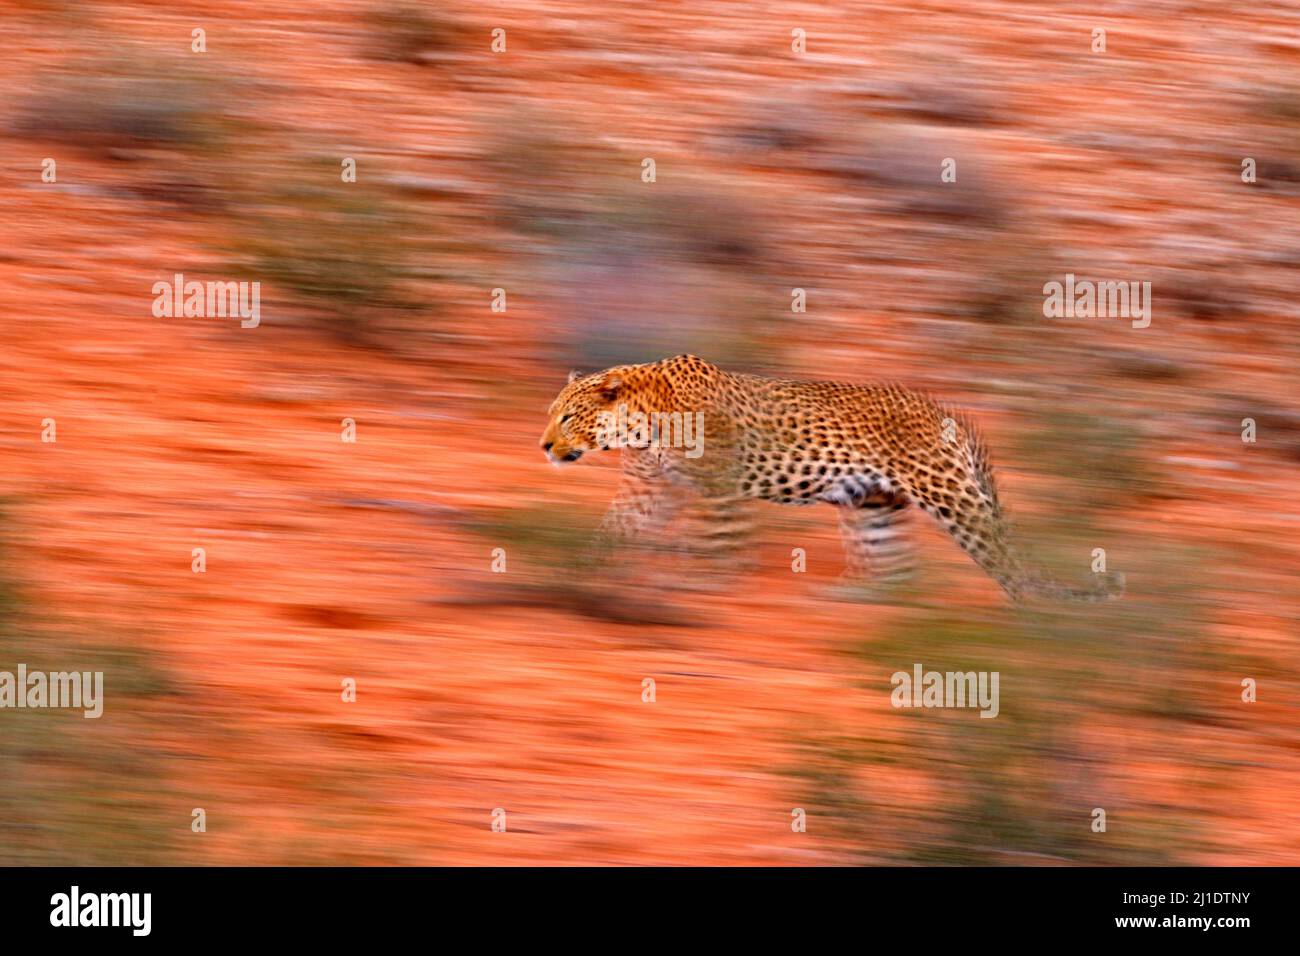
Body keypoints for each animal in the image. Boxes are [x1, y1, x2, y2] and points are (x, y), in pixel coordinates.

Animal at [539, 354, 1124, 603]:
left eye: (566, 418)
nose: (543, 445)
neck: (642, 422)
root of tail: (944, 411)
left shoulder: (717, 485)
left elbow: (719, 540)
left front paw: (703, 580)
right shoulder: (651, 488)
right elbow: (614, 530)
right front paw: (575, 570)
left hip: (947, 491)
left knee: (999, 550)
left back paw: (1035, 608)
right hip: (873, 504)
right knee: (895, 568)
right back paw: (856, 594)